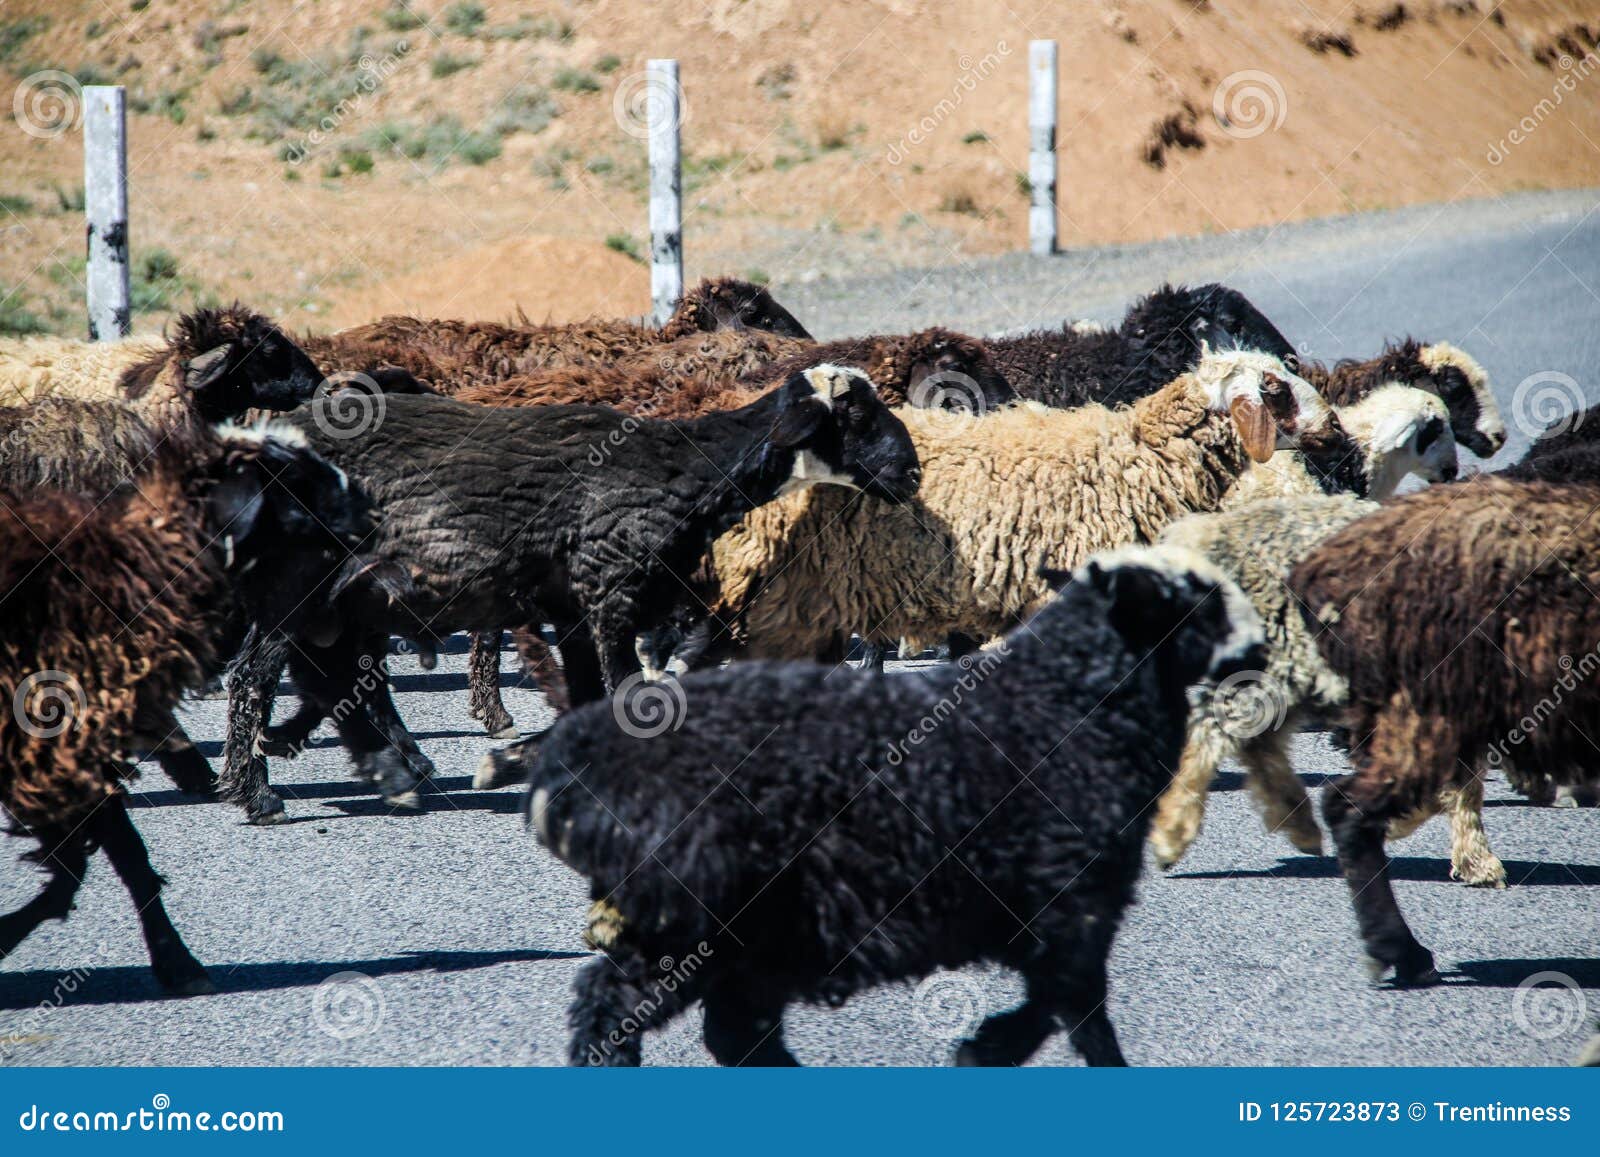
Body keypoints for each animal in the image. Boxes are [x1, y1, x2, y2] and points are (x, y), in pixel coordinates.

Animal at [224, 365, 922, 820]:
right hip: (305, 582)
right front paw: (515, 764)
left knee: (341, 672)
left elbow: (590, 699)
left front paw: (519, 763)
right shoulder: (608, 587)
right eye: (857, 413)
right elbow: (621, 698)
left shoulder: (576, 607)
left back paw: (389, 767)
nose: (912, 473)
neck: (690, 469)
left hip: (353, 593)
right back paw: (258, 791)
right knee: (258, 673)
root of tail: (277, 440)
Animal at [515, 544, 1266, 1066]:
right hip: (701, 924)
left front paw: (986, 1047)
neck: (1065, 701)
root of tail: (582, 755)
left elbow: (1061, 1007)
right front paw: (987, 1049)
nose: (1260, 649)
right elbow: (1078, 1014)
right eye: (1189, 601)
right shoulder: (1072, 906)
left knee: (706, 1024)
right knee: (618, 1008)